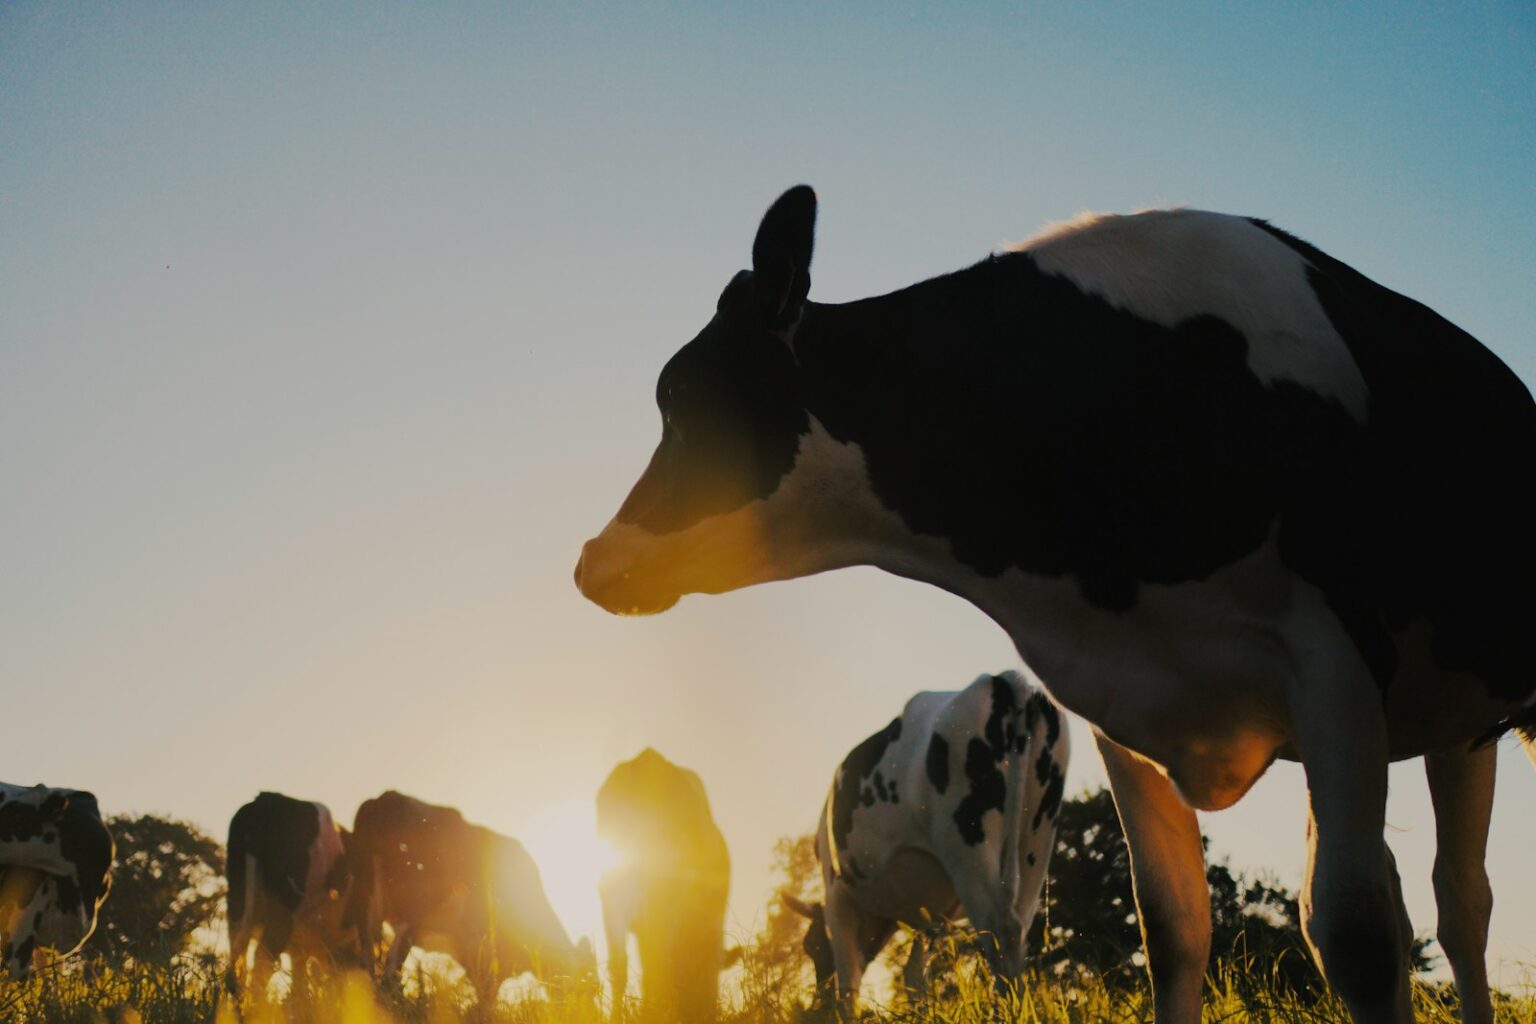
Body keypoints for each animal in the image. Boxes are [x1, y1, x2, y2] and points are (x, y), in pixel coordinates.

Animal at [225, 792, 360, 1000]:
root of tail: (265, 799)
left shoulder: (301, 951)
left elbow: (300, 987)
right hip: (282, 910)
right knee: (262, 961)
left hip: (237, 900)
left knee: (237, 963)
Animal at [347, 790, 593, 1006]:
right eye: (589, 986)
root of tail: (385, 798)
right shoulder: (484, 945)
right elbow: (487, 993)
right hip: (412, 909)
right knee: (390, 968)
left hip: (365, 903)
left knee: (367, 962)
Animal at [782, 670, 1068, 1013]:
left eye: (811, 946)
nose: (817, 1004)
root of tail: (1004, 679)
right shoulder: (935, 915)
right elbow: (914, 975)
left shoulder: (836, 891)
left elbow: (849, 987)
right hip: (1035, 843)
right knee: (1019, 927)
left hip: (967, 842)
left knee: (1001, 930)